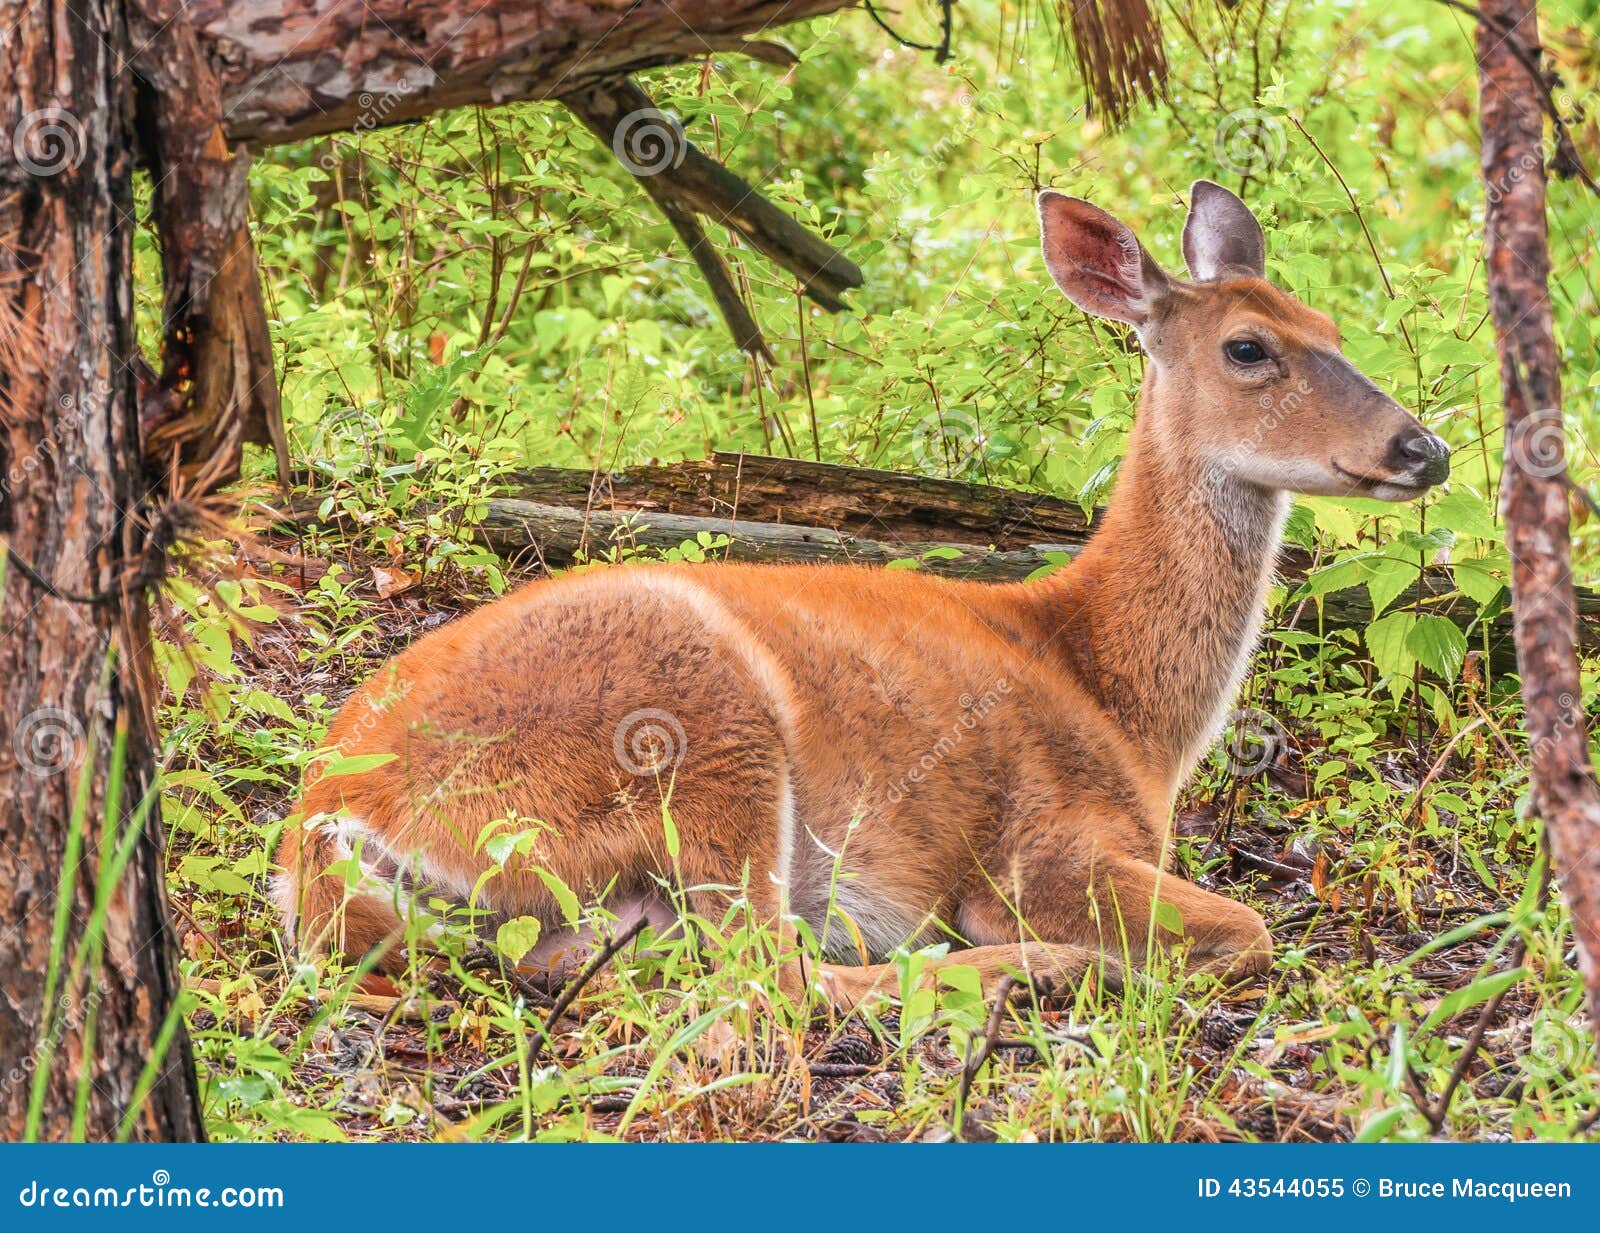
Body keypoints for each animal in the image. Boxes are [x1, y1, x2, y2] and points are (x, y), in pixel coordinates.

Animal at [272, 180, 1450, 1008]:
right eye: (1249, 348)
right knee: (767, 972)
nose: (1422, 448)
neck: (1122, 700)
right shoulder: (1046, 844)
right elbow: (1249, 930)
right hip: (696, 732)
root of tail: (332, 813)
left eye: (1333, 329)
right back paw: (1040, 969)